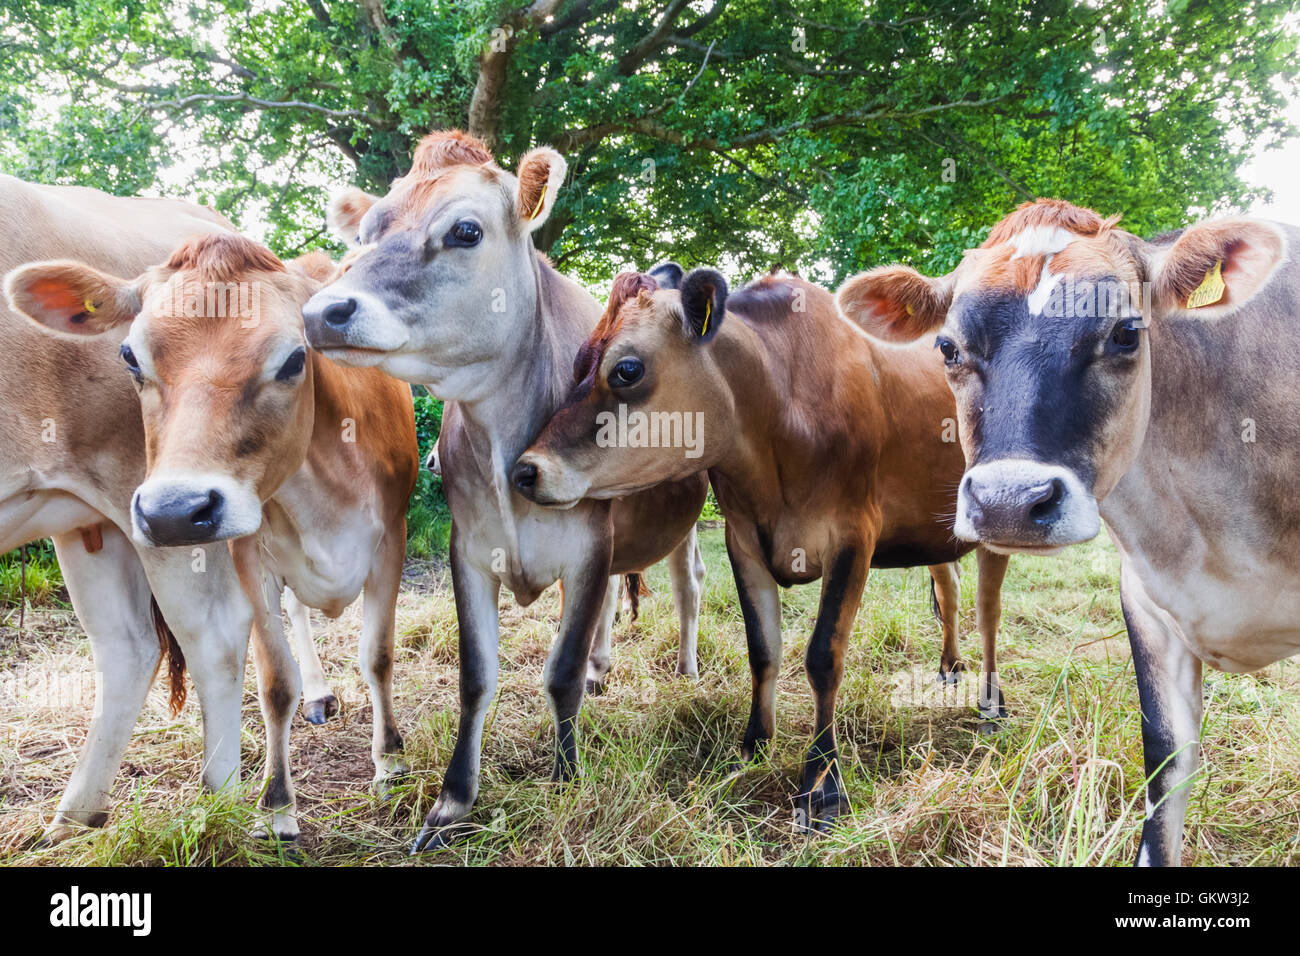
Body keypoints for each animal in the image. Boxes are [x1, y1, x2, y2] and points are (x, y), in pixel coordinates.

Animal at [8, 231, 418, 840]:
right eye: (129, 357)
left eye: (296, 357)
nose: (174, 512)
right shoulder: (250, 555)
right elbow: (275, 684)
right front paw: (276, 808)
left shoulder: (391, 537)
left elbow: (378, 656)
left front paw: (390, 763)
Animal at [298, 130, 708, 852]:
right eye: (368, 231)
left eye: (466, 229)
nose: (325, 311)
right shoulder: (470, 550)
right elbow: (478, 675)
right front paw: (452, 802)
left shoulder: (589, 545)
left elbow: (560, 671)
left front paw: (567, 776)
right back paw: (606, 669)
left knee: (688, 584)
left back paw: (685, 670)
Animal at [514, 266, 1011, 831]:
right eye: (577, 363)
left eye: (626, 370)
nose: (525, 469)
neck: (779, 409)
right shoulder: (744, 539)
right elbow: (763, 647)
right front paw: (753, 746)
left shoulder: (854, 536)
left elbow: (823, 656)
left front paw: (823, 784)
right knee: (949, 590)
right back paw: (949, 666)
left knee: (988, 611)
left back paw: (991, 702)